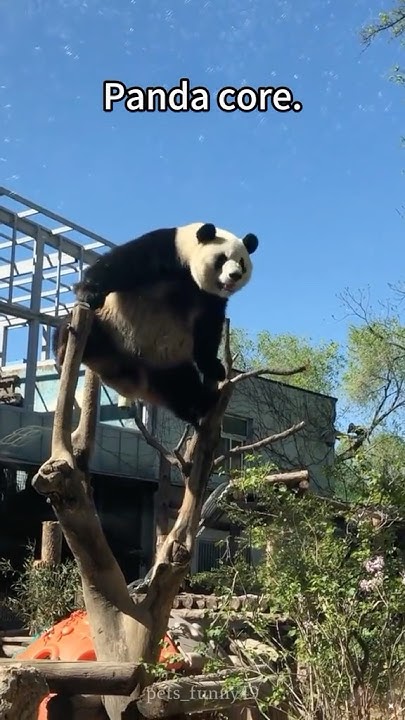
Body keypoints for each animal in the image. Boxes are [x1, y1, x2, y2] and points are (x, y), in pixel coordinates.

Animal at [53, 222, 259, 427]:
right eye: (222, 259)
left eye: (242, 262)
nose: (234, 275)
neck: (189, 273)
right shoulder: (166, 249)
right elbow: (119, 265)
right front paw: (89, 293)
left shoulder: (210, 298)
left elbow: (208, 328)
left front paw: (215, 367)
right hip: (107, 325)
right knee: (77, 330)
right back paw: (65, 347)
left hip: (166, 362)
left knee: (182, 386)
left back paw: (199, 406)